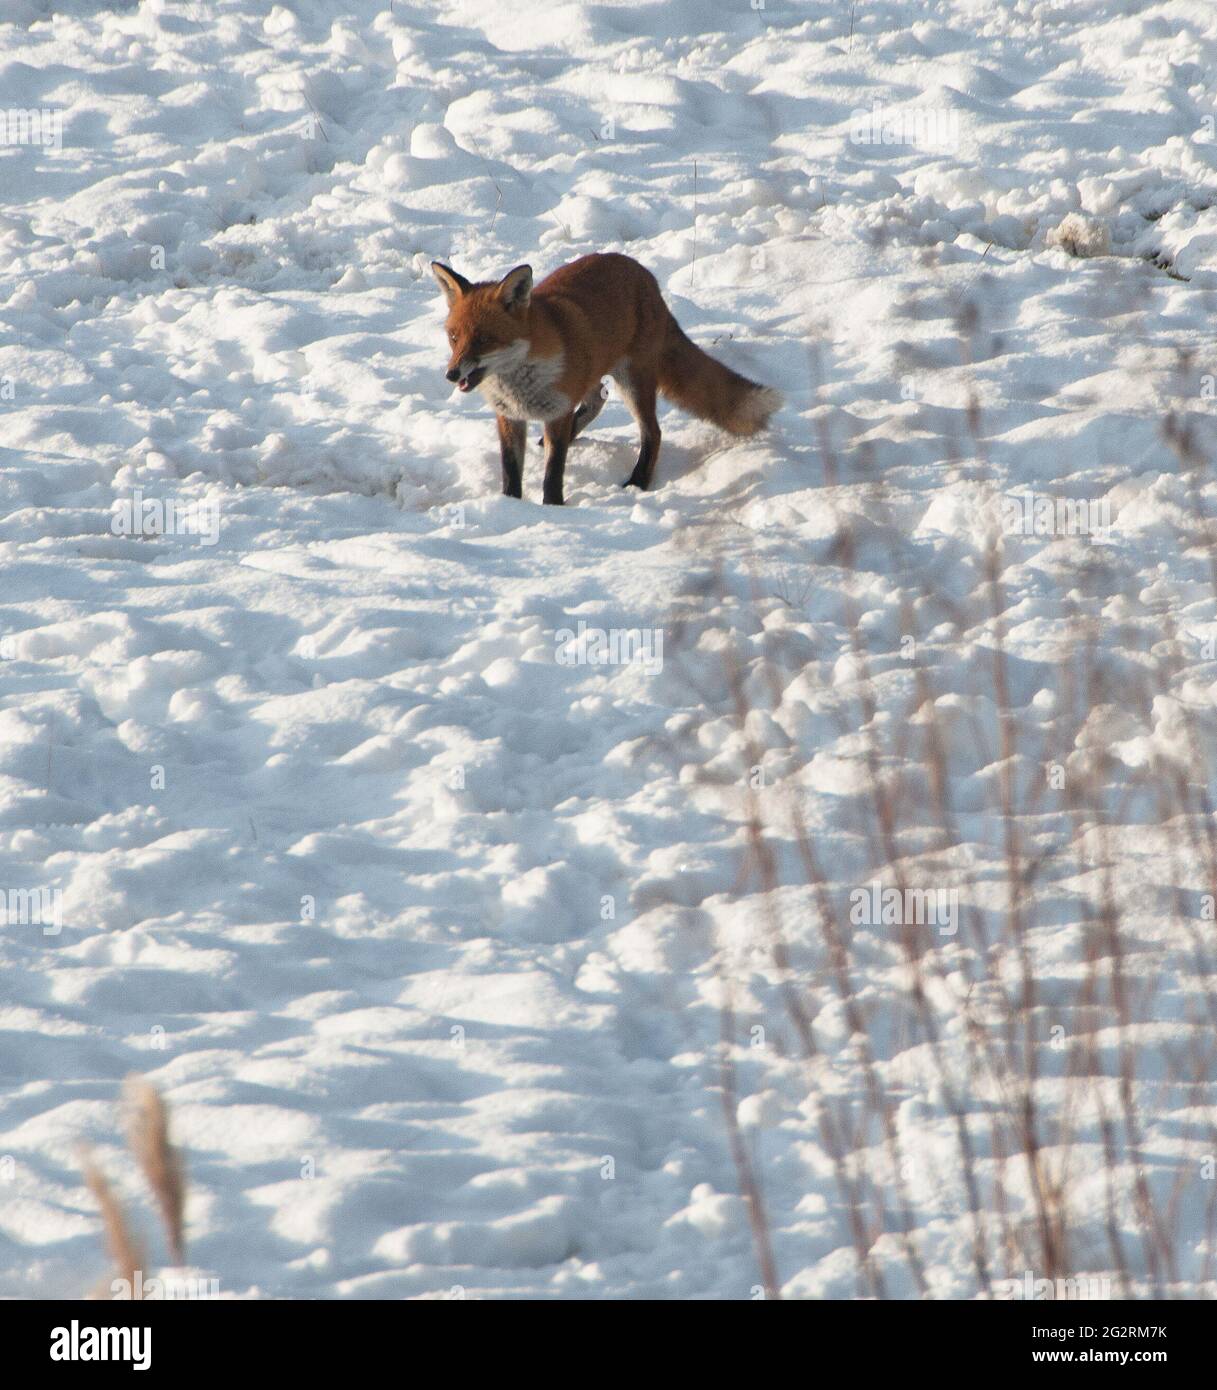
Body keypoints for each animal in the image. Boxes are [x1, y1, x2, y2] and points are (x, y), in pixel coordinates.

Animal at [431, 252, 781, 505]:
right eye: (453, 337)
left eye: (483, 340)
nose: (451, 374)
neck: (518, 383)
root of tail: (644, 273)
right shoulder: (508, 416)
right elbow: (510, 470)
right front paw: (511, 505)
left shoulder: (557, 411)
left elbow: (553, 472)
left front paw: (552, 507)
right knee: (598, 399)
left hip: (633, 381)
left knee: (653, 431)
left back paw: (638, 482)